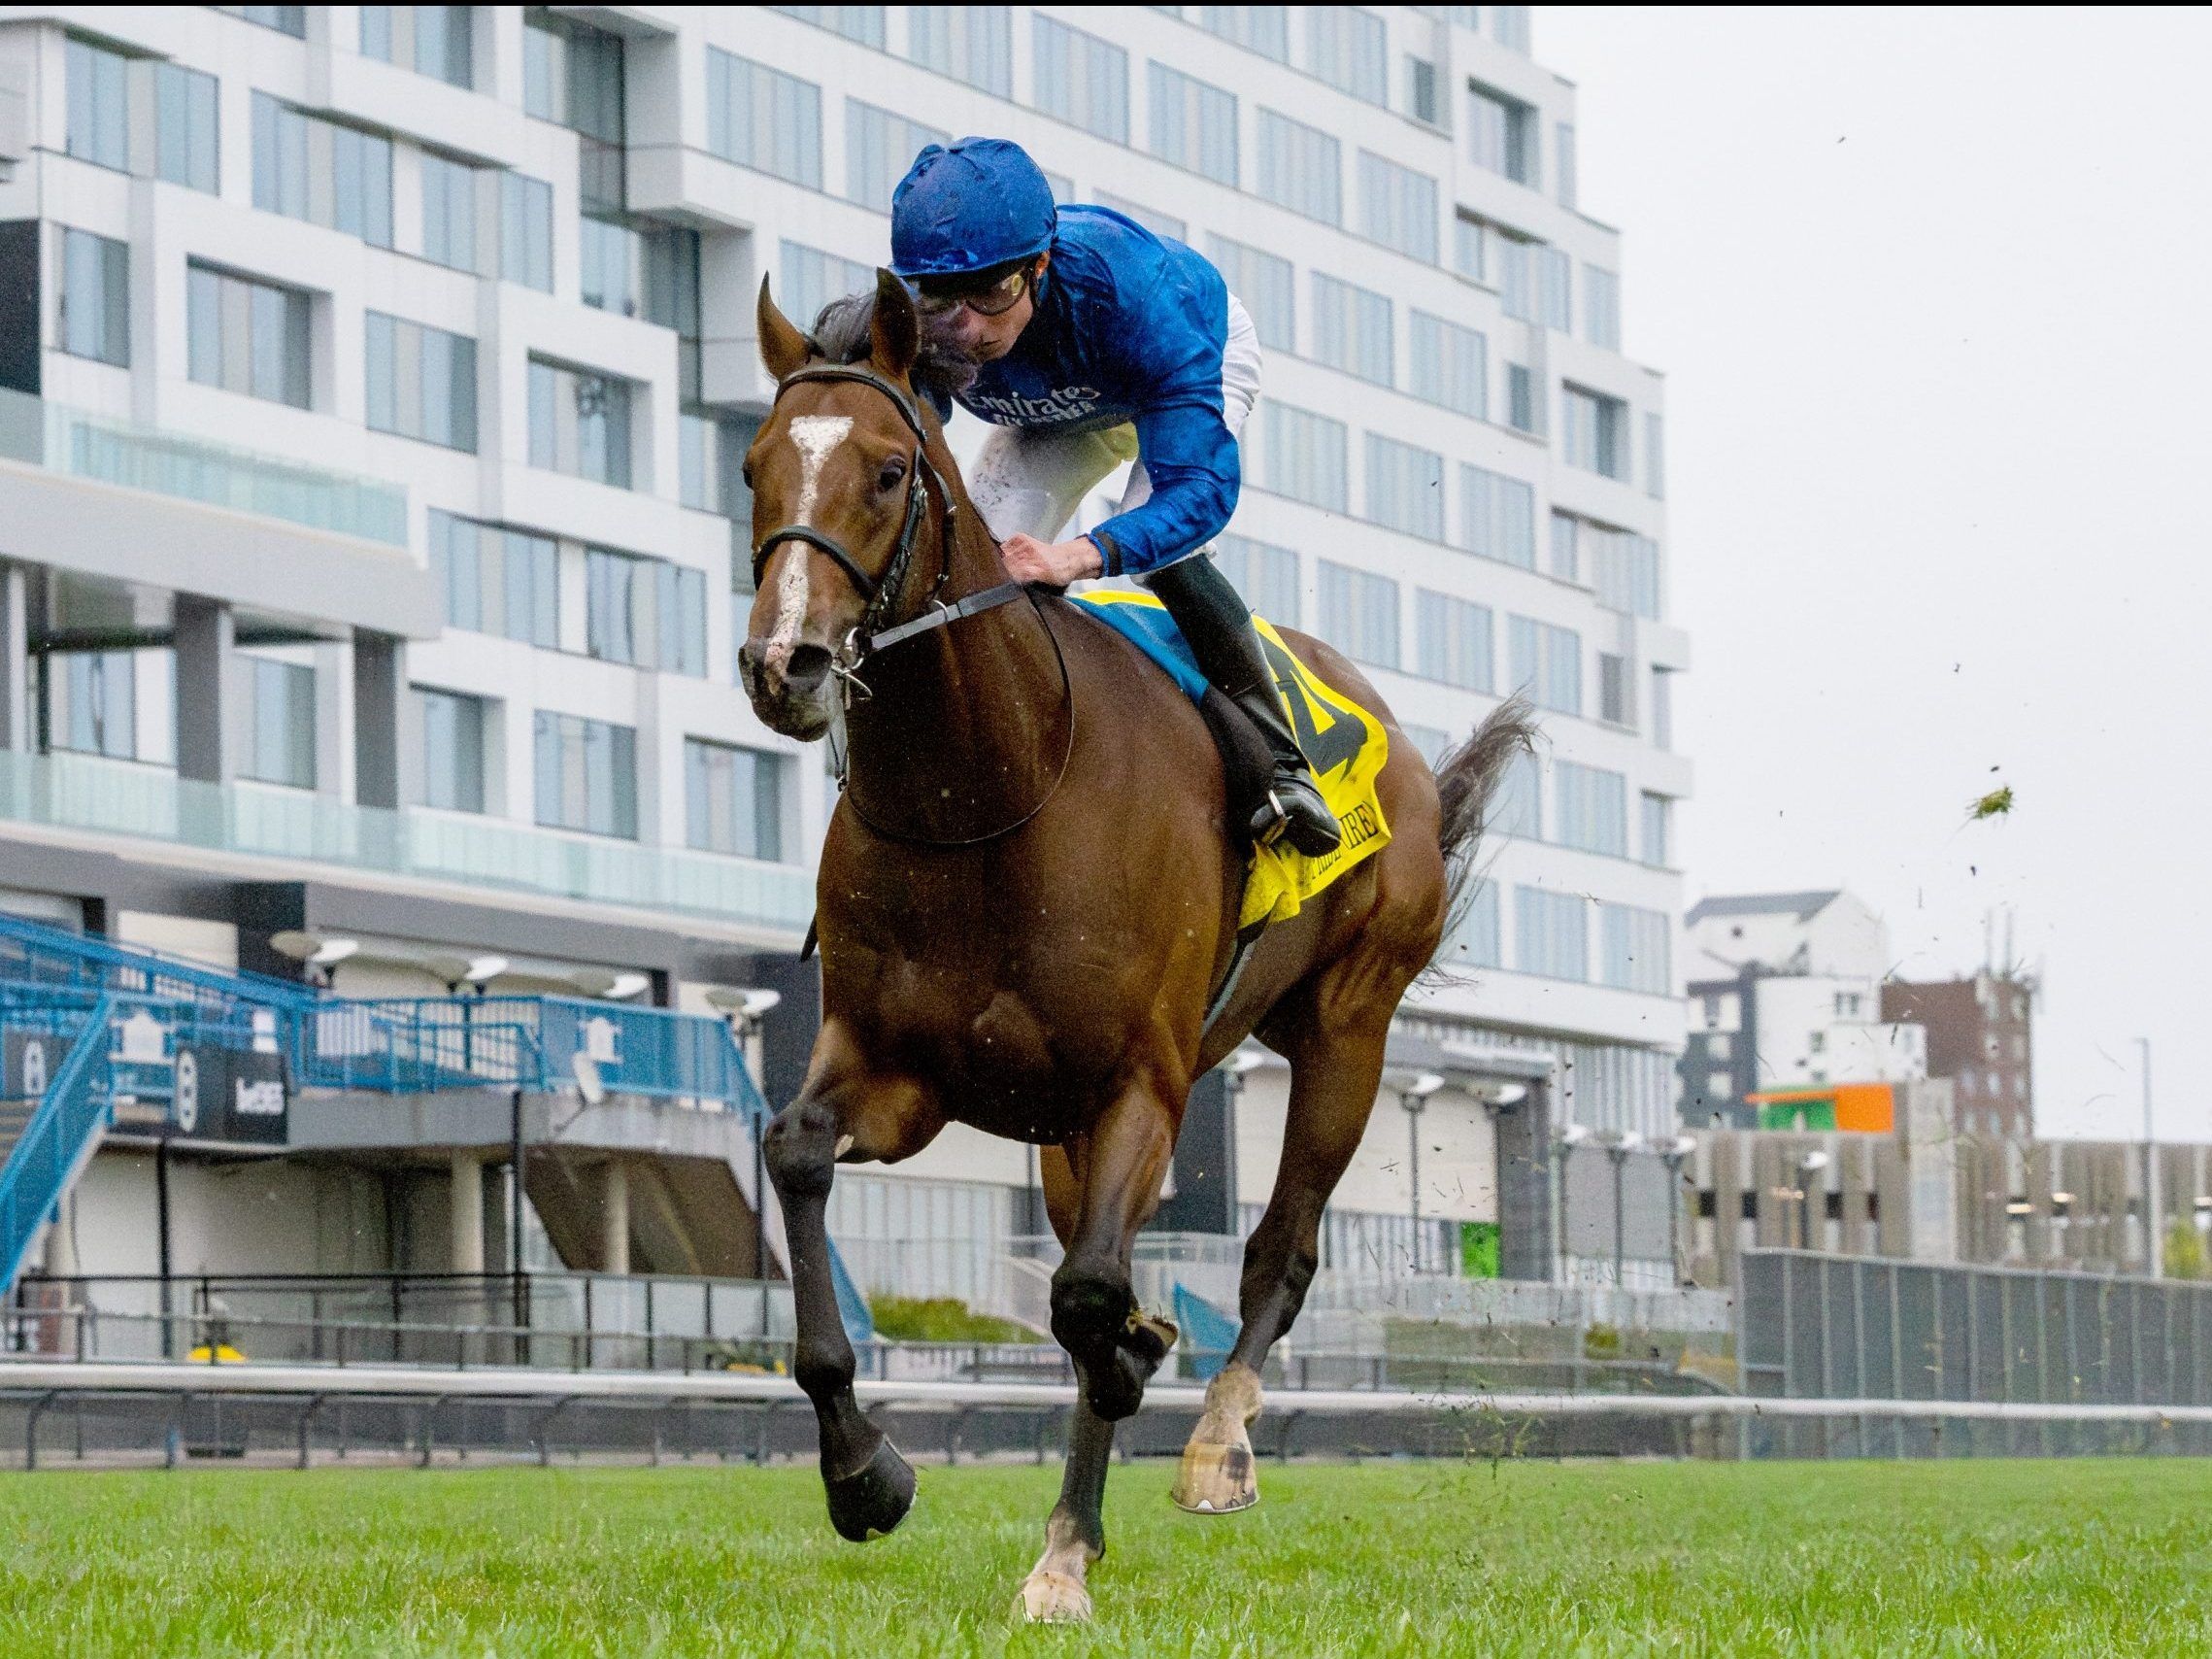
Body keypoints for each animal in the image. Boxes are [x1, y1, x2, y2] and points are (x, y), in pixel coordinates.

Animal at [737, 270, 1535, 1622]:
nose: (780, 661)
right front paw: (865, 1476)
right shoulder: (896, 1072)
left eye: (891, 471)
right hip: (1066, 1128)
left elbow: (1091, 1297)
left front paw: (1115, 1417)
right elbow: (797, 1158)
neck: (991, 789)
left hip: (1348, 1029)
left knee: (1278, 1252)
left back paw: (1214, 1446)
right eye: (753, 465)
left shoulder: (1141, 1084)